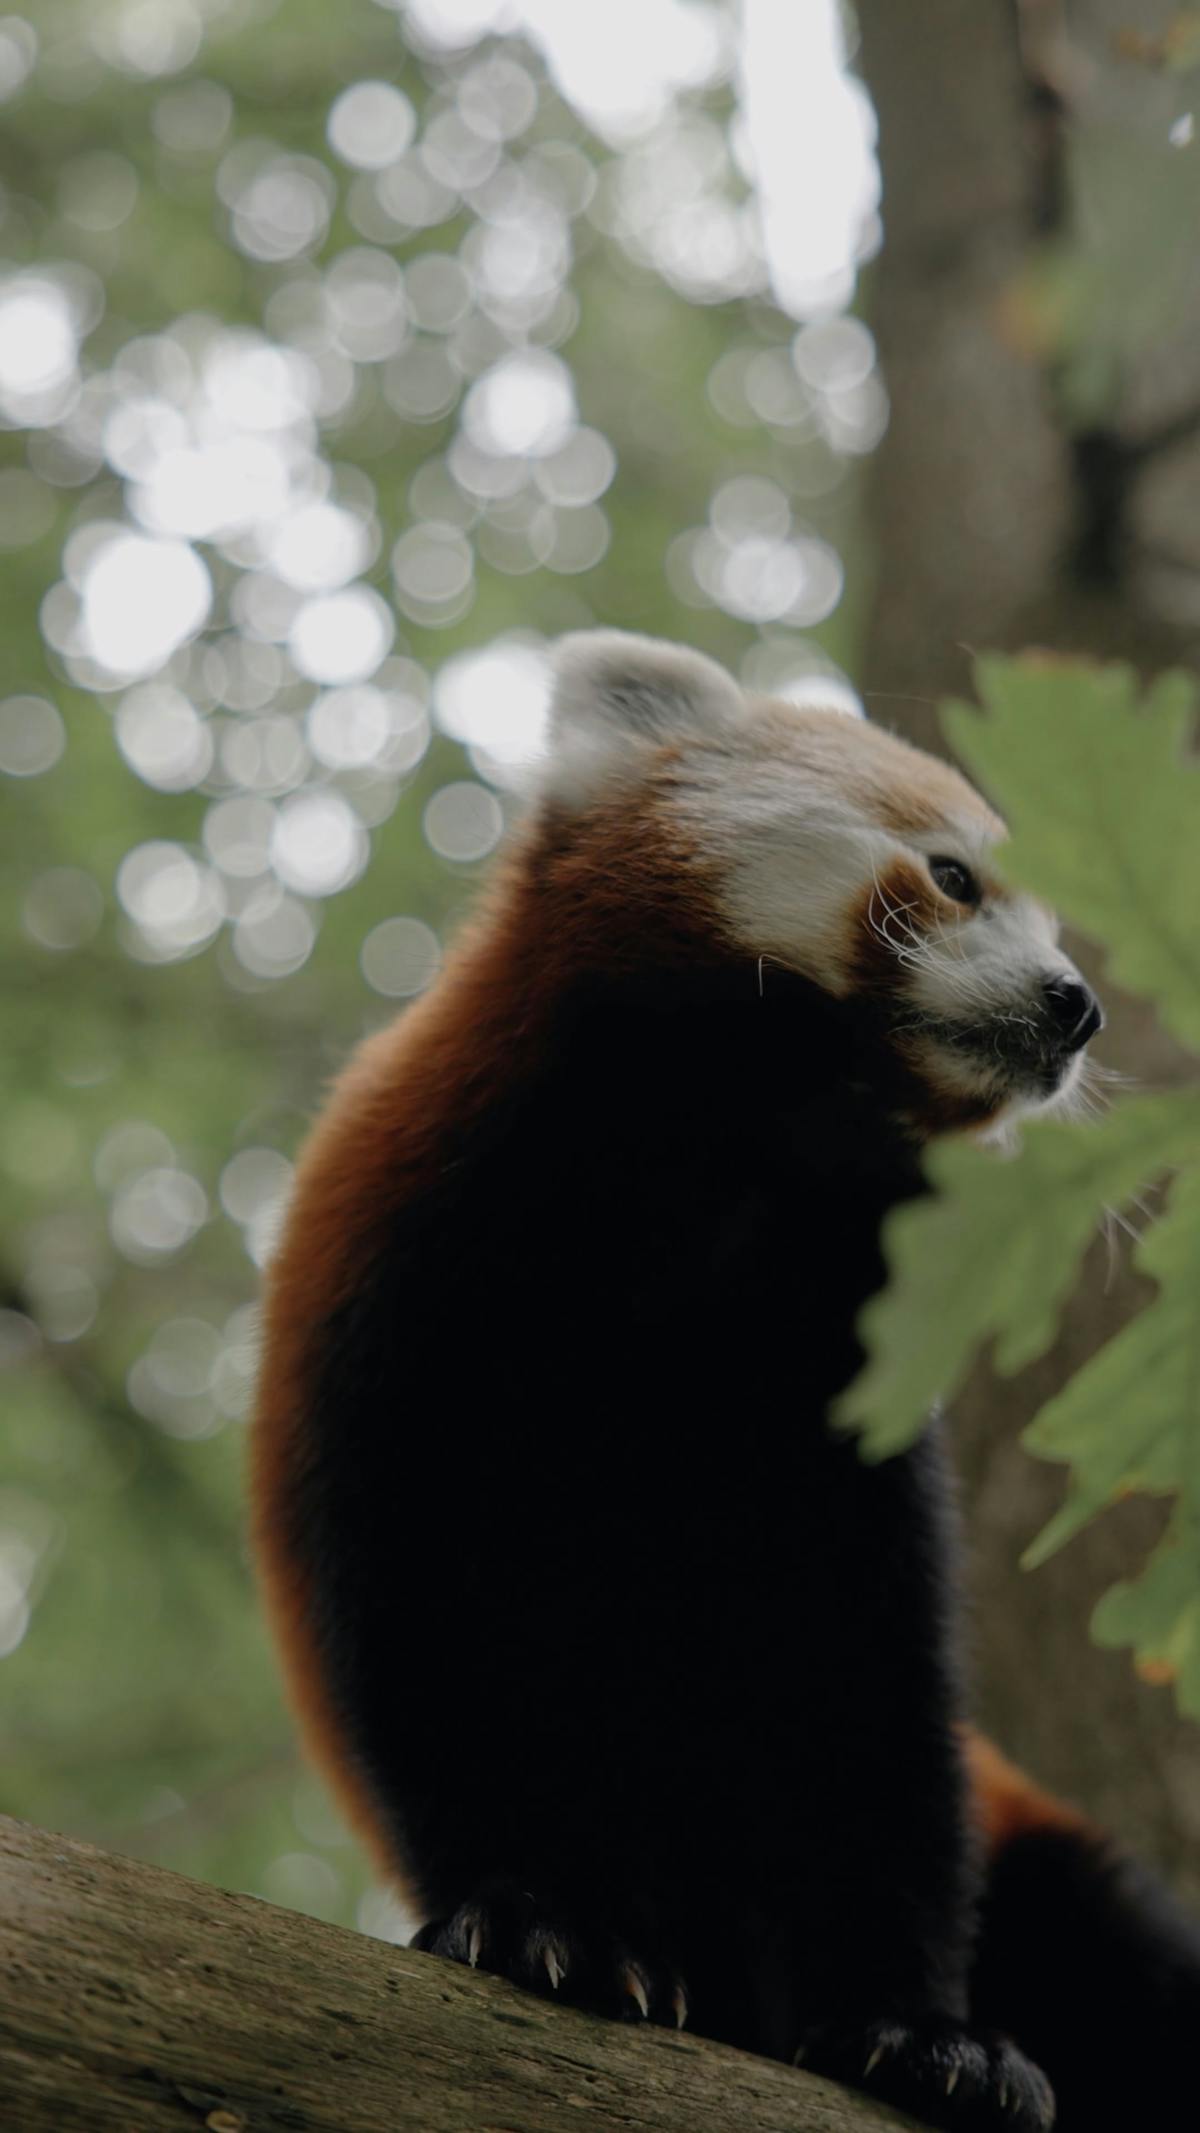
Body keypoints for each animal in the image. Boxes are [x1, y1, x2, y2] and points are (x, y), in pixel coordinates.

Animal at [252, 631, 1200, 2133]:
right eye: (956, 878)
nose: (1077, 1006)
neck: (721, 1173)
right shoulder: (391, 1293)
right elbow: (427, 1652)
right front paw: (544, 1920)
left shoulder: (845, 1380)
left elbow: (875, 1712)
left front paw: (921, 2029)